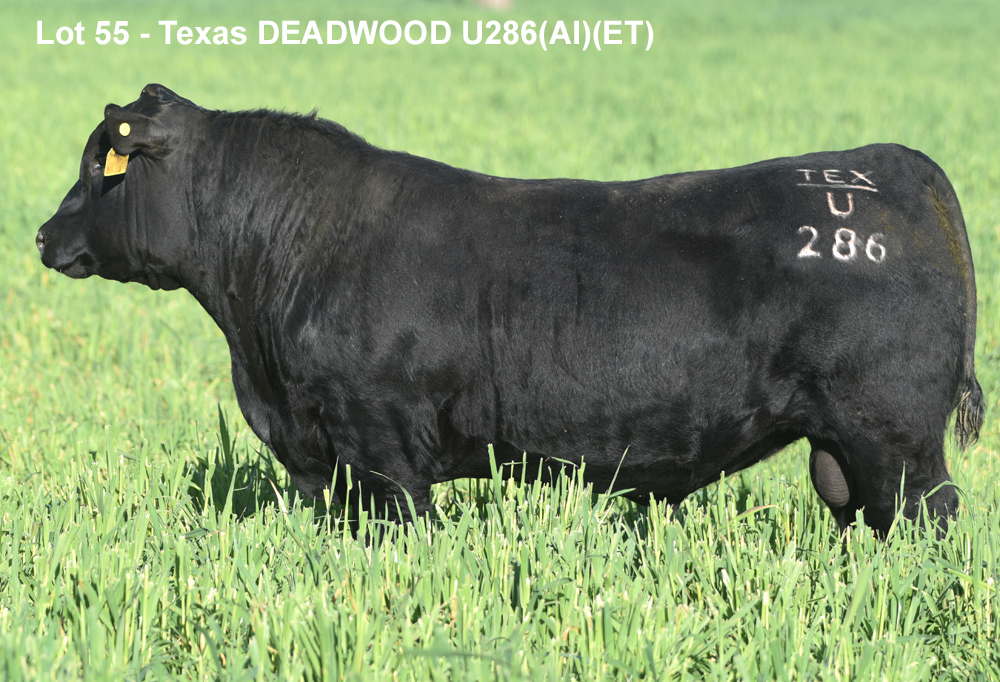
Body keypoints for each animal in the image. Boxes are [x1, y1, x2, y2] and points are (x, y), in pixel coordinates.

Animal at [37, 84, 983, 535]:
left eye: (95, 165)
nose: (44, 236)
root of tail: (889, 164)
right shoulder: (332, 464)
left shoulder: (381, 443)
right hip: (847, 450)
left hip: (897, 444)